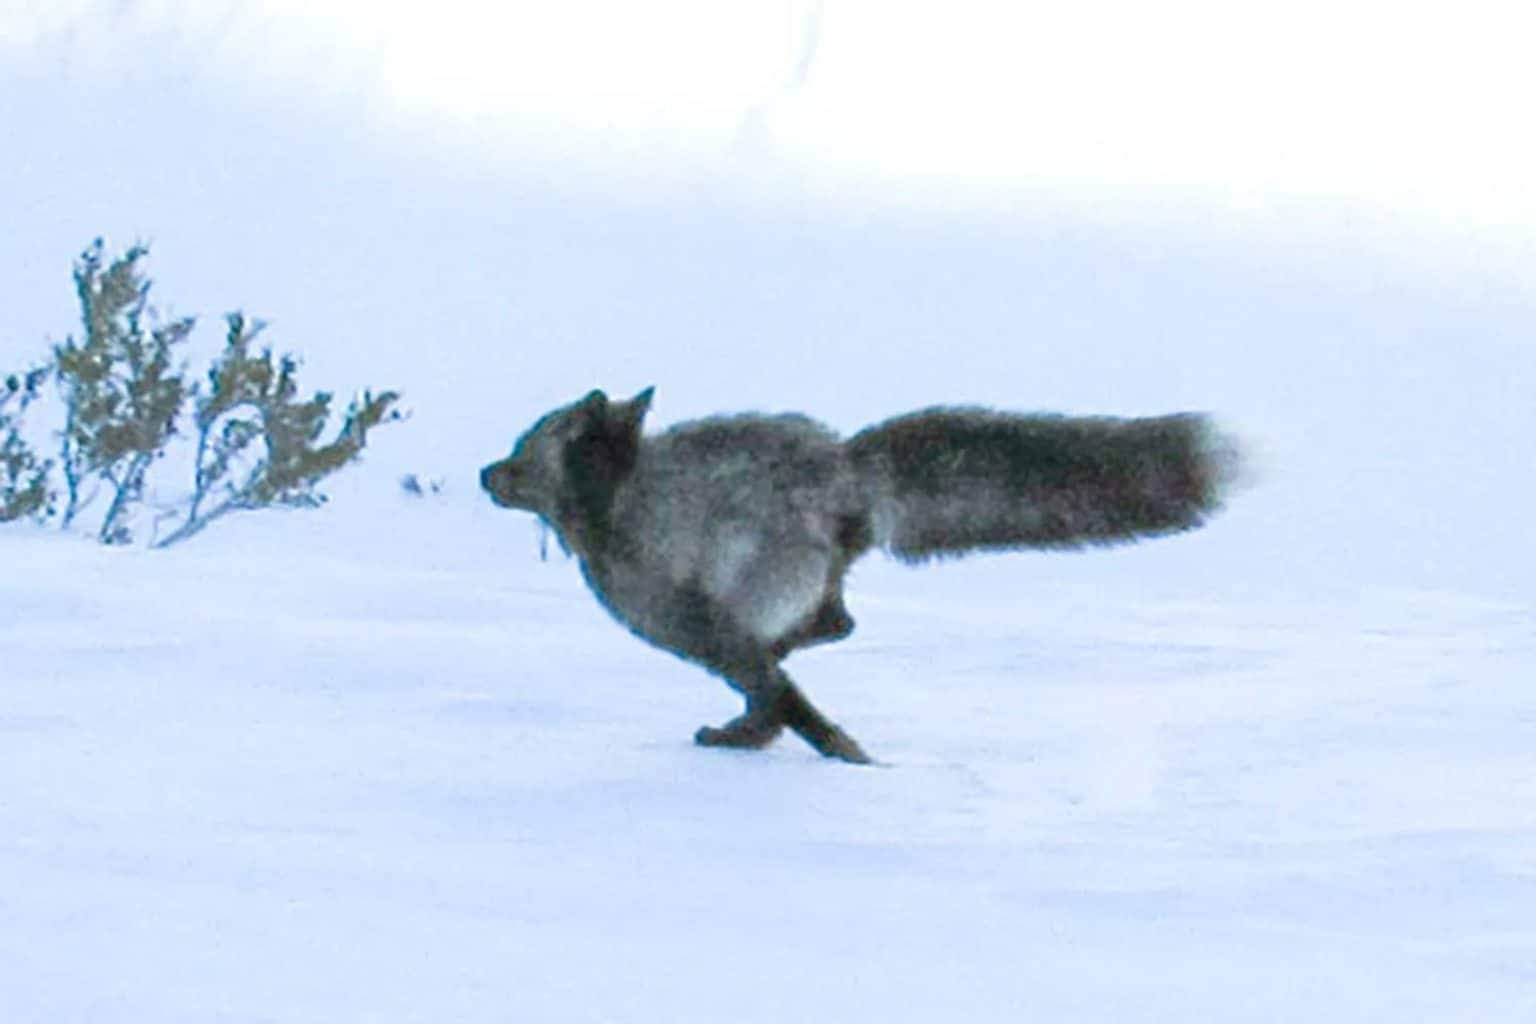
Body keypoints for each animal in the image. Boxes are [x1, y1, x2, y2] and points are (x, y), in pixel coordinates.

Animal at [481, 388, 1241, 765]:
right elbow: (778, 691)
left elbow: (783, 700)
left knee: (817, 636)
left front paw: (837, 752)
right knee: (834, 625)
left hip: (752, 590)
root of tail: (846, 466)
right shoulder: (725, 637)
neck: (622, 498)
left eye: (520, 452)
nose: (485, 472)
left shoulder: (700, 628)